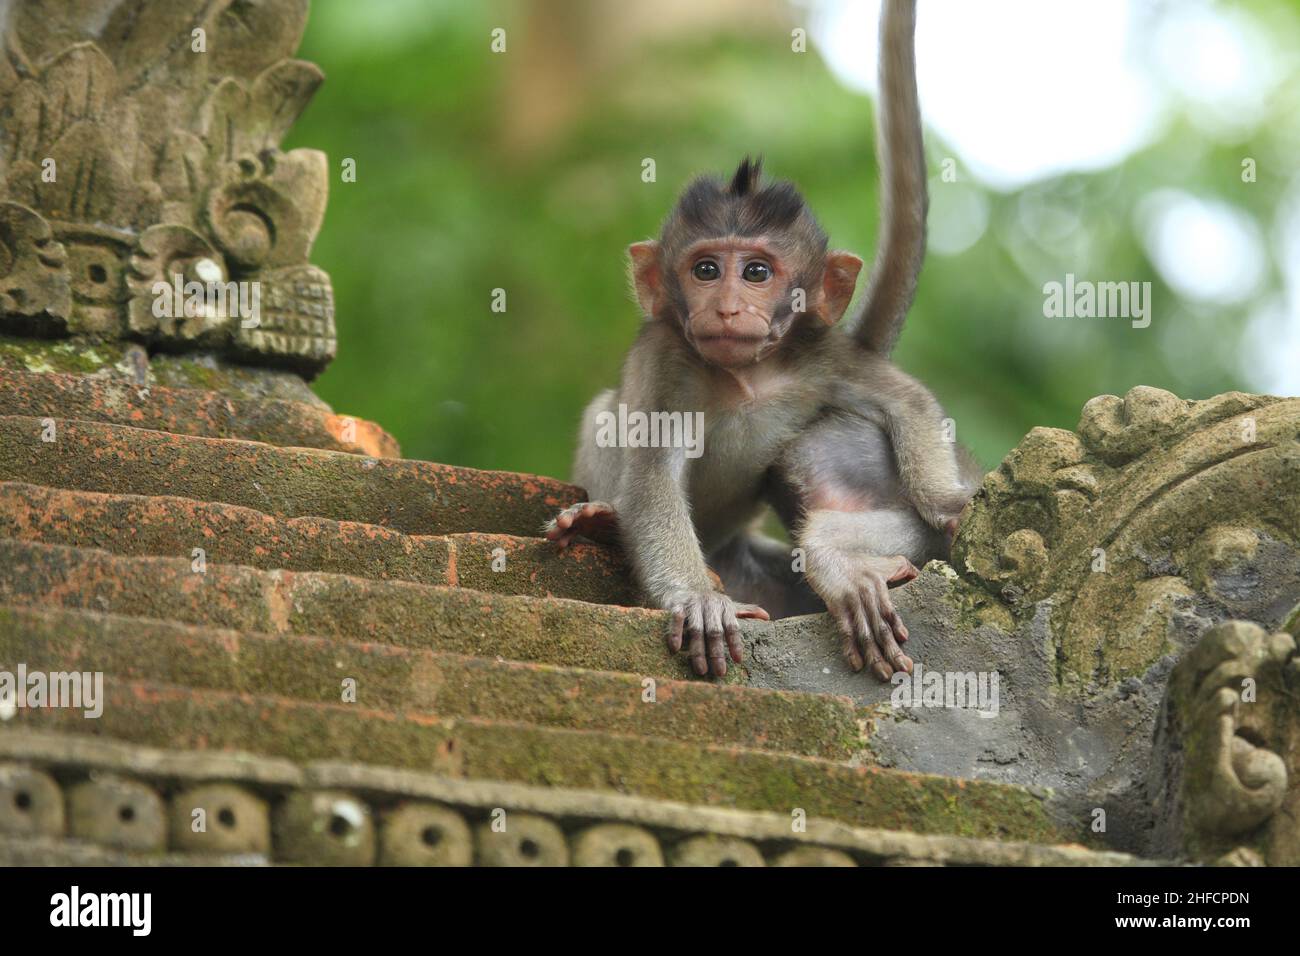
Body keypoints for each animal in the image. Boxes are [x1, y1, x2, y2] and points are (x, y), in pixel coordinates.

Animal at [546, 0, 980, 681]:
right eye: (704, 269)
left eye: (756, 272)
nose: (726, 306)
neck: (745, 374)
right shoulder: (662, 356)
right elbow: (651, 473)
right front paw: (697, 601)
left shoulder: (819, 349)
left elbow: (908, 402)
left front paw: (949, 504)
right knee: (605, 413)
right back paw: (599, 520)